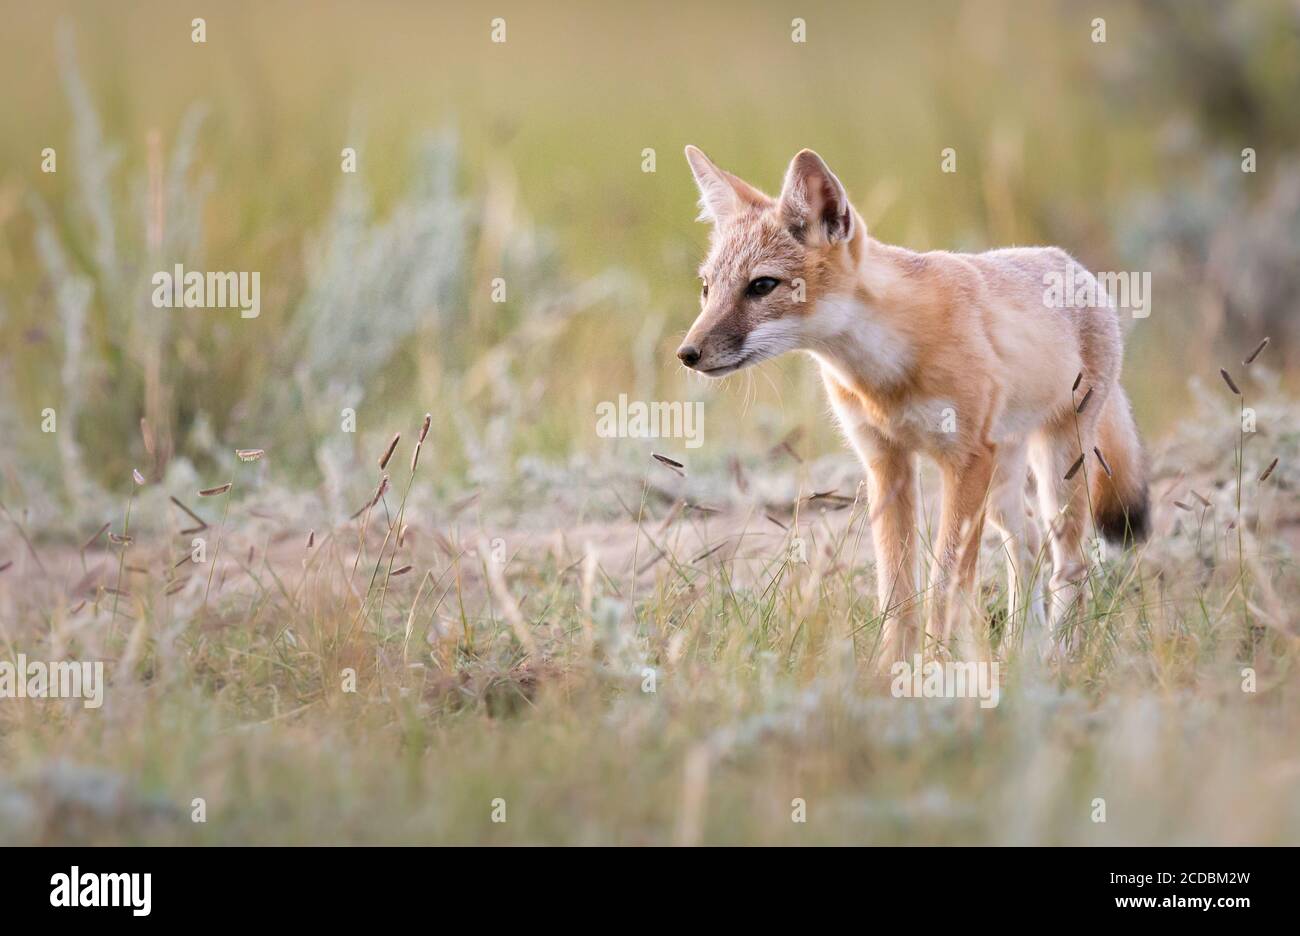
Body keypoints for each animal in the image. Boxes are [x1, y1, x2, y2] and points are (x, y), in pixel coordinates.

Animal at [677, 145, 1149, 661]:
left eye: (761, 286)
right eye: (707, 289)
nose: (687, 353)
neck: (885, 372)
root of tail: (1069, 262)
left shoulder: (964, 462)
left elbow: (945, 586)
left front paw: (936, 663)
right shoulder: (887, 464)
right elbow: (896, 591)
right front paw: (893, 667)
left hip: (1055, 470)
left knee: (1070, 563)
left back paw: (1060, 655)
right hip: (1001, 482)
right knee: (1026, 545)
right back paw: (1020, 653)